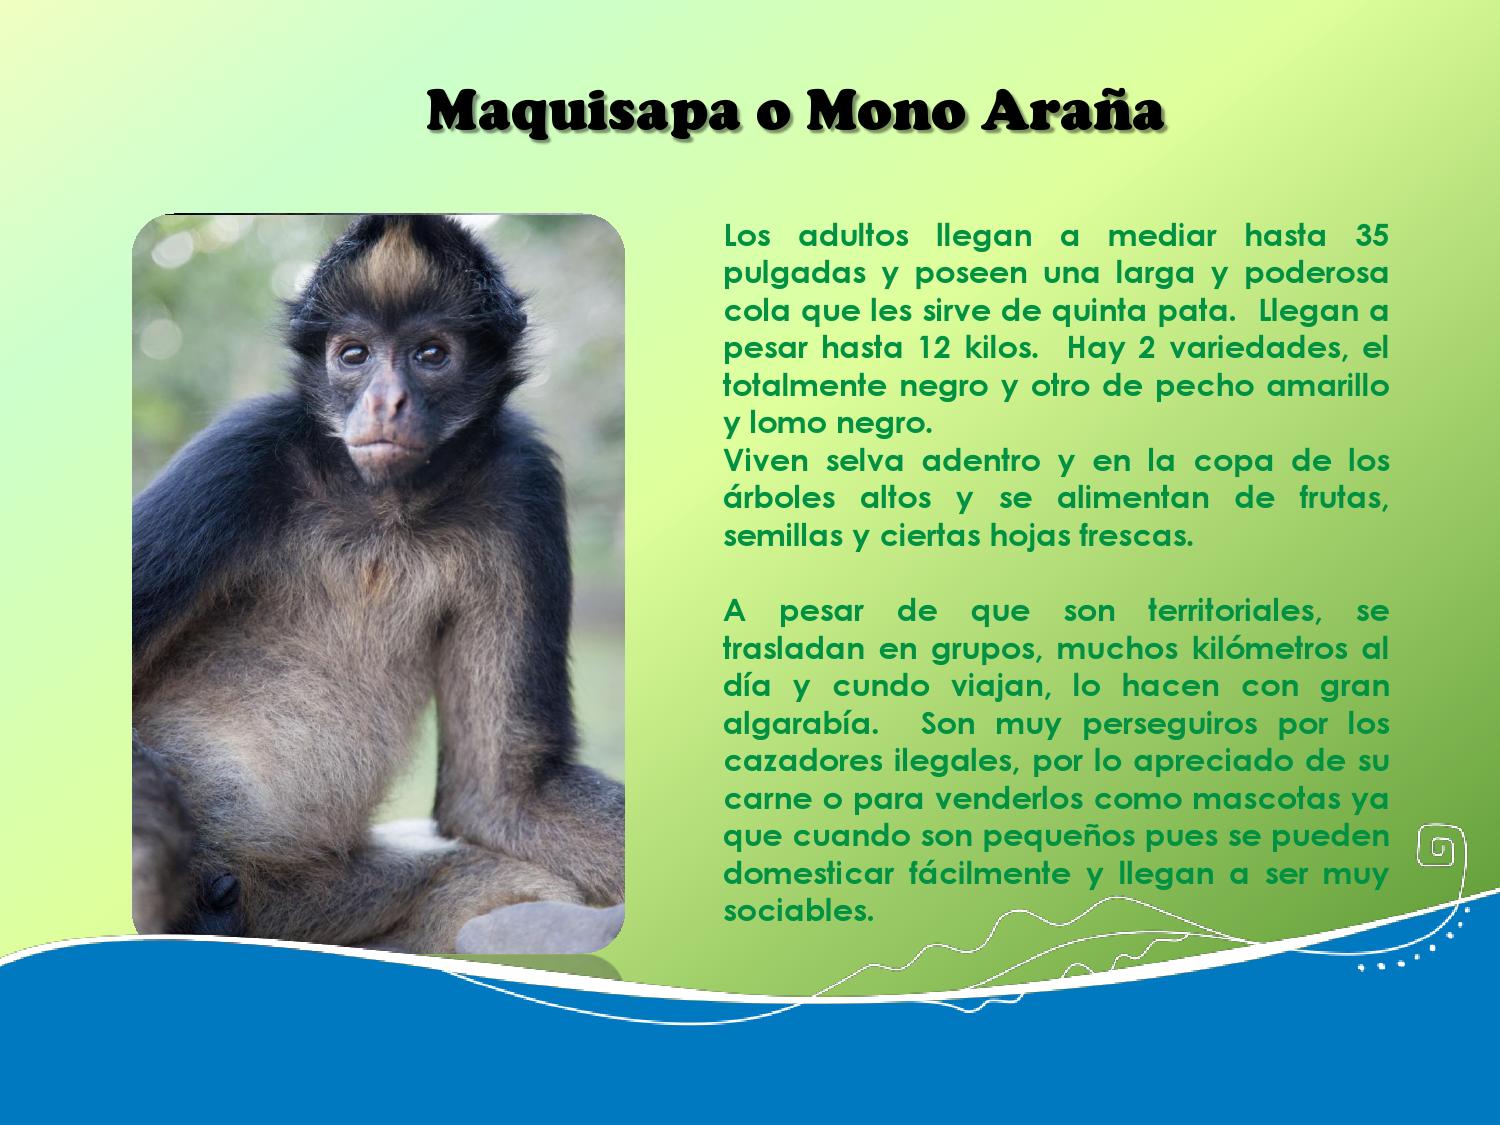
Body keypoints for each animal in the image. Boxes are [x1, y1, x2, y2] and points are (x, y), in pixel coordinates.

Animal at [132, 215, 624, 952]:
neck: (385, 510)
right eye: (354, 354)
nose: (385, 401)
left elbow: (504, 796)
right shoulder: (242, 453)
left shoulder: (520, 476)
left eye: (431, 353)